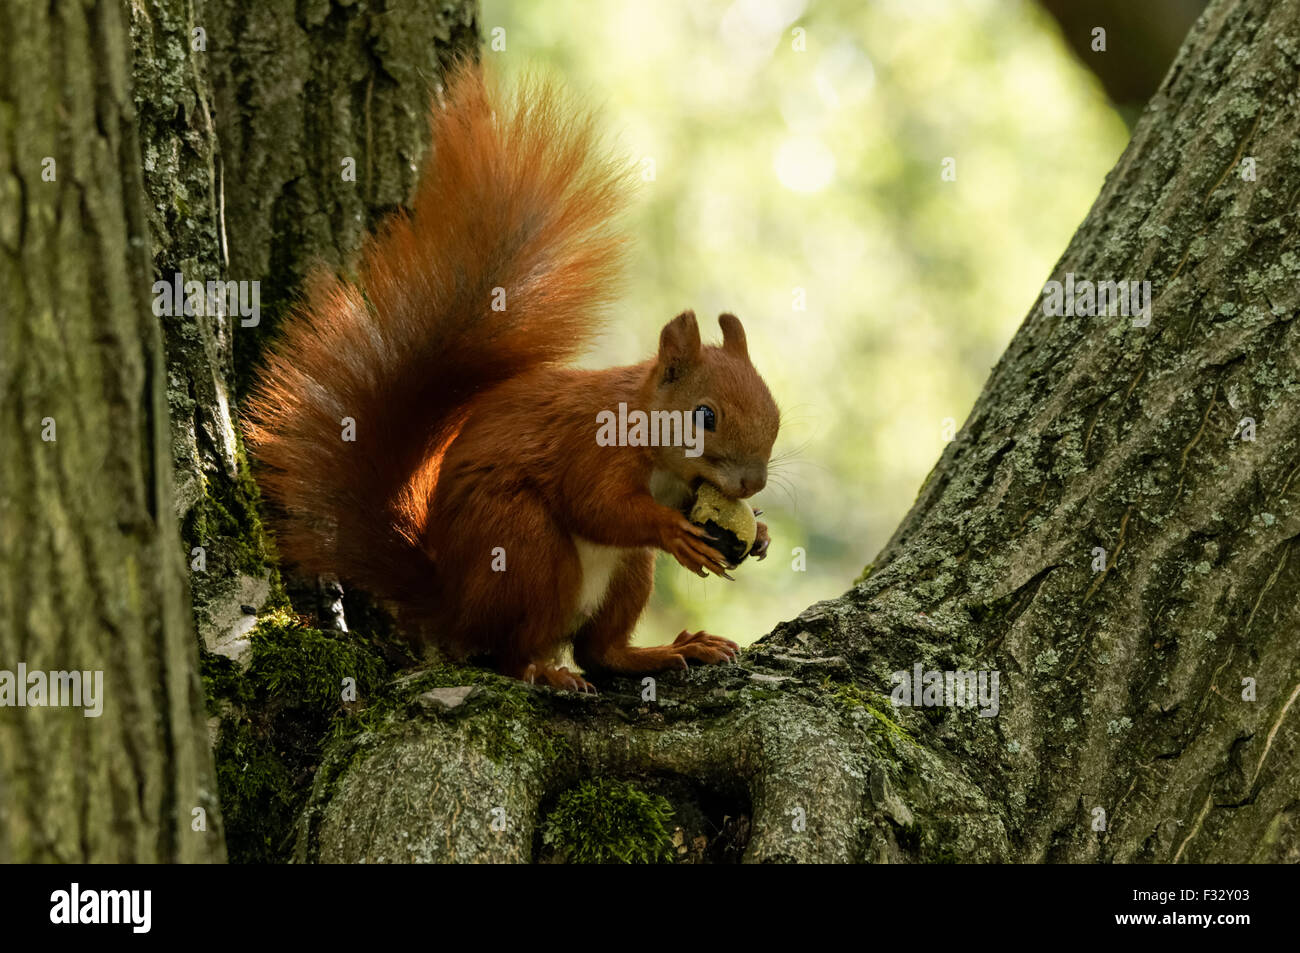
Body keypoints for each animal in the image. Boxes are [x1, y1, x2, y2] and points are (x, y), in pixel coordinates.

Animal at [244, 62, 779, 692]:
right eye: (704, 415)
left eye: (775, 412)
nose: (752, 484)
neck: (664, 461)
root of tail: (454, 603)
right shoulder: (591, 448)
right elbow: (597, 505)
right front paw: (674, 532)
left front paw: (761, 533)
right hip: (523, 545)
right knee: (508, 651)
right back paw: (542, 671)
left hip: (625, 573)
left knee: (600, 650)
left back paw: (664, 652)